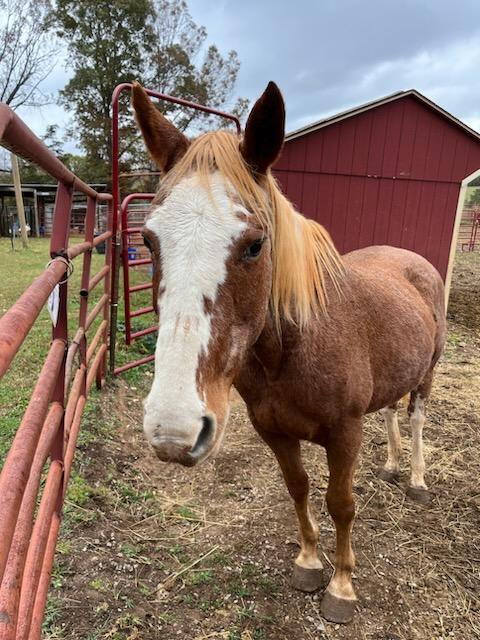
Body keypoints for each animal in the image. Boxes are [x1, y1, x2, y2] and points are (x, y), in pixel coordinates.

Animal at [131, 81, 446, 624]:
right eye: (149, 241)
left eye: (255, 244)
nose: (173, 430)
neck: (293, 350)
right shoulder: (273, 431)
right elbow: (298, 488)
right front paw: (309, 562)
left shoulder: (345, 433)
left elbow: (340, 503)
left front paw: (341, 587)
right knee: (390, 412)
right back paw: (390, 466)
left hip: (428, 372)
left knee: (417, 418)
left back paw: (416, 479)